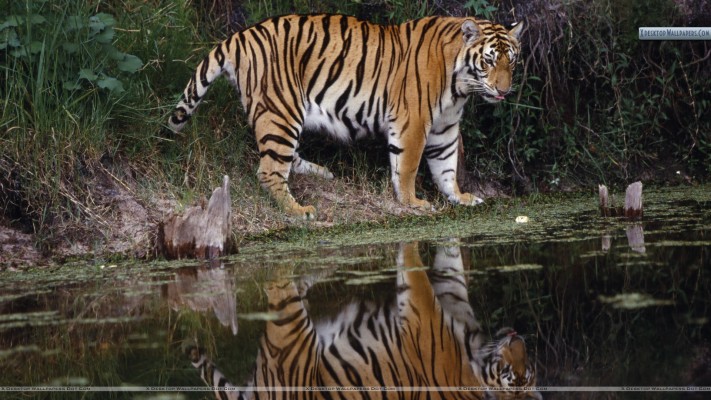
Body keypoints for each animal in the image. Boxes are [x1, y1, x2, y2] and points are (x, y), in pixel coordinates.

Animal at [168, 14, 524, 219]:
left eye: (511, 61)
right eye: (489, 61)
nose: (504, 91)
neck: (460, 85)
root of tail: (239, 36)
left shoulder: (445, 126)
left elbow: (447, 165)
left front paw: (460, 197)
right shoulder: (413, 122)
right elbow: (407, 166)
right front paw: (413, 203)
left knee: (284, 158)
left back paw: (321, 173)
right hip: (281, 110)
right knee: (269, 170)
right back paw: (299, 210)